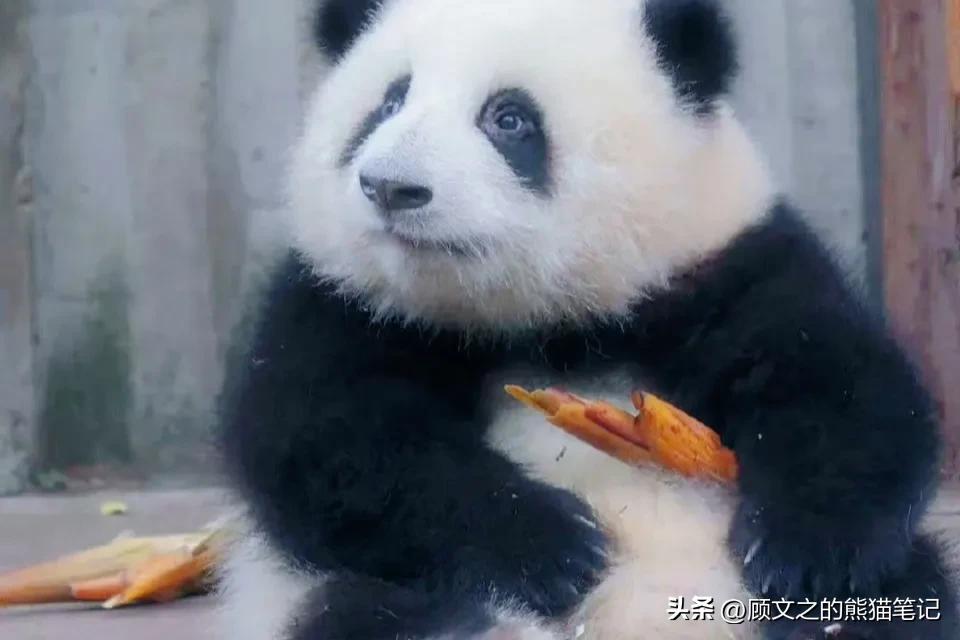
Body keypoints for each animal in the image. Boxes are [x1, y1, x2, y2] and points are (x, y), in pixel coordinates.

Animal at [218, 1, 958, 639]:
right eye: (389, 102)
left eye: (509, 118)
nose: (391, 188)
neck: (551, 320)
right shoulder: (346, 302)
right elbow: (328, 435)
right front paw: (554, 547)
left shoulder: (718, 268)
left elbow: (841, 390)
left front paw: (800, 551)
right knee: (382, 615)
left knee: (897, 606)